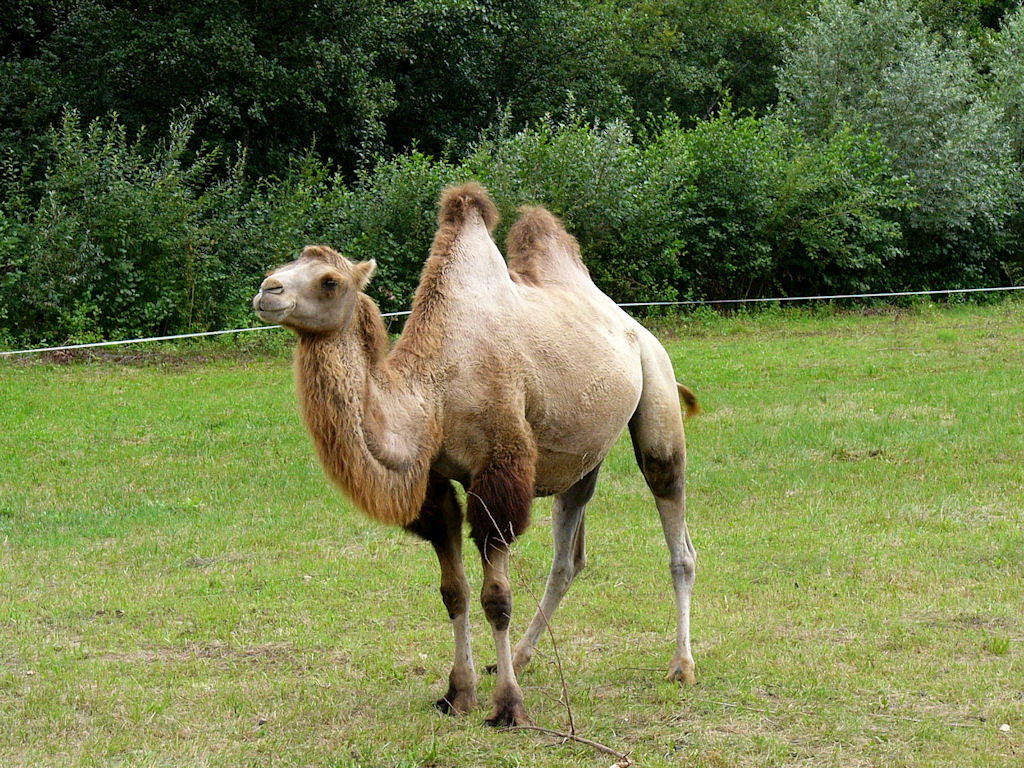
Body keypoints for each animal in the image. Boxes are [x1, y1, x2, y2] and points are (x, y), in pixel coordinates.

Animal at [252, 183, 699, 727]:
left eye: (330, 280)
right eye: (285, 264)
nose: (267, 290)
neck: (433, 396)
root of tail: (630, 322)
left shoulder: (499, 471)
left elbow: (496, 599)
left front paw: (508, 707)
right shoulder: (436, 485)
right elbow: (454, 592)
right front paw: (458, 693)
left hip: (656, 392)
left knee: (676, 532)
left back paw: (681, 666)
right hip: (579, 459)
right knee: (567, 560)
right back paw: (524, 657)